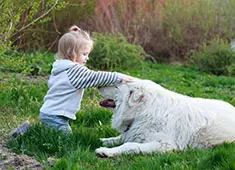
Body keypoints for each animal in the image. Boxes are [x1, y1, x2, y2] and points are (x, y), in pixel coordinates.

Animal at [94, 79, 235, 157]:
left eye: (116, 86)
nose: (98, 85)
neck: (143, 111)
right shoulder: (133, 131)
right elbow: (120, 138)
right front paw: (103, 141)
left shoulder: (165, 145)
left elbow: (129, 145)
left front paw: (106, 151)